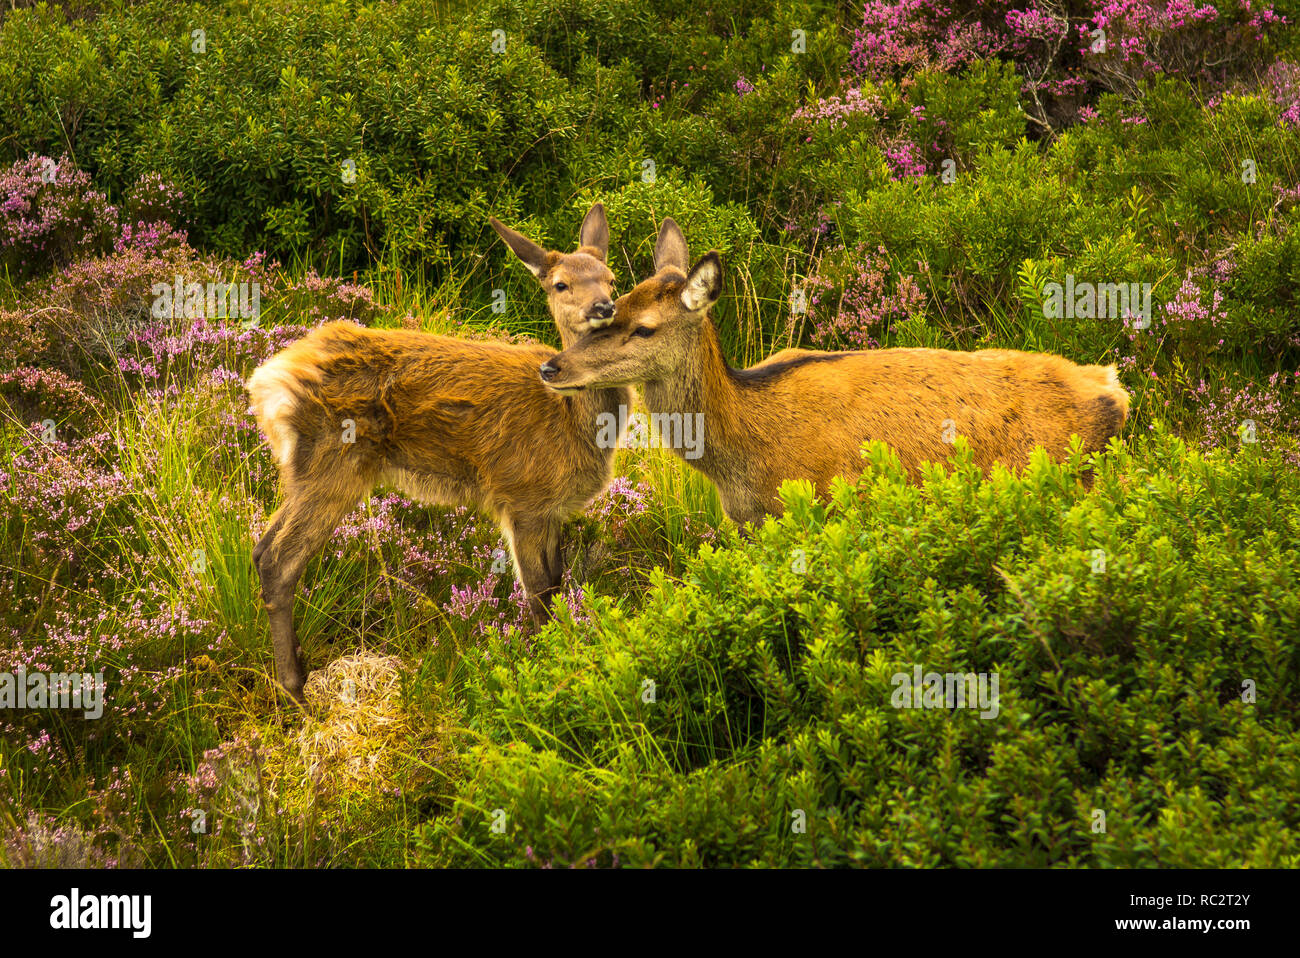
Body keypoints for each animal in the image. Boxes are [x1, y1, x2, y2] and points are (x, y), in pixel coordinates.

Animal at [246, 204, 631, 701]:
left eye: (611, 279)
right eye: (561, 283)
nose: (604, 307)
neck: (570, 420)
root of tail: (266, 380)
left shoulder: (552, 509)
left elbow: (559, 584)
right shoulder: (522, 495)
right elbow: (539, 593)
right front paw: (548, 666)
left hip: (302, 472)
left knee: (260, 549)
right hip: (334, 464)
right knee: (279, 562)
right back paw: (295, 689)